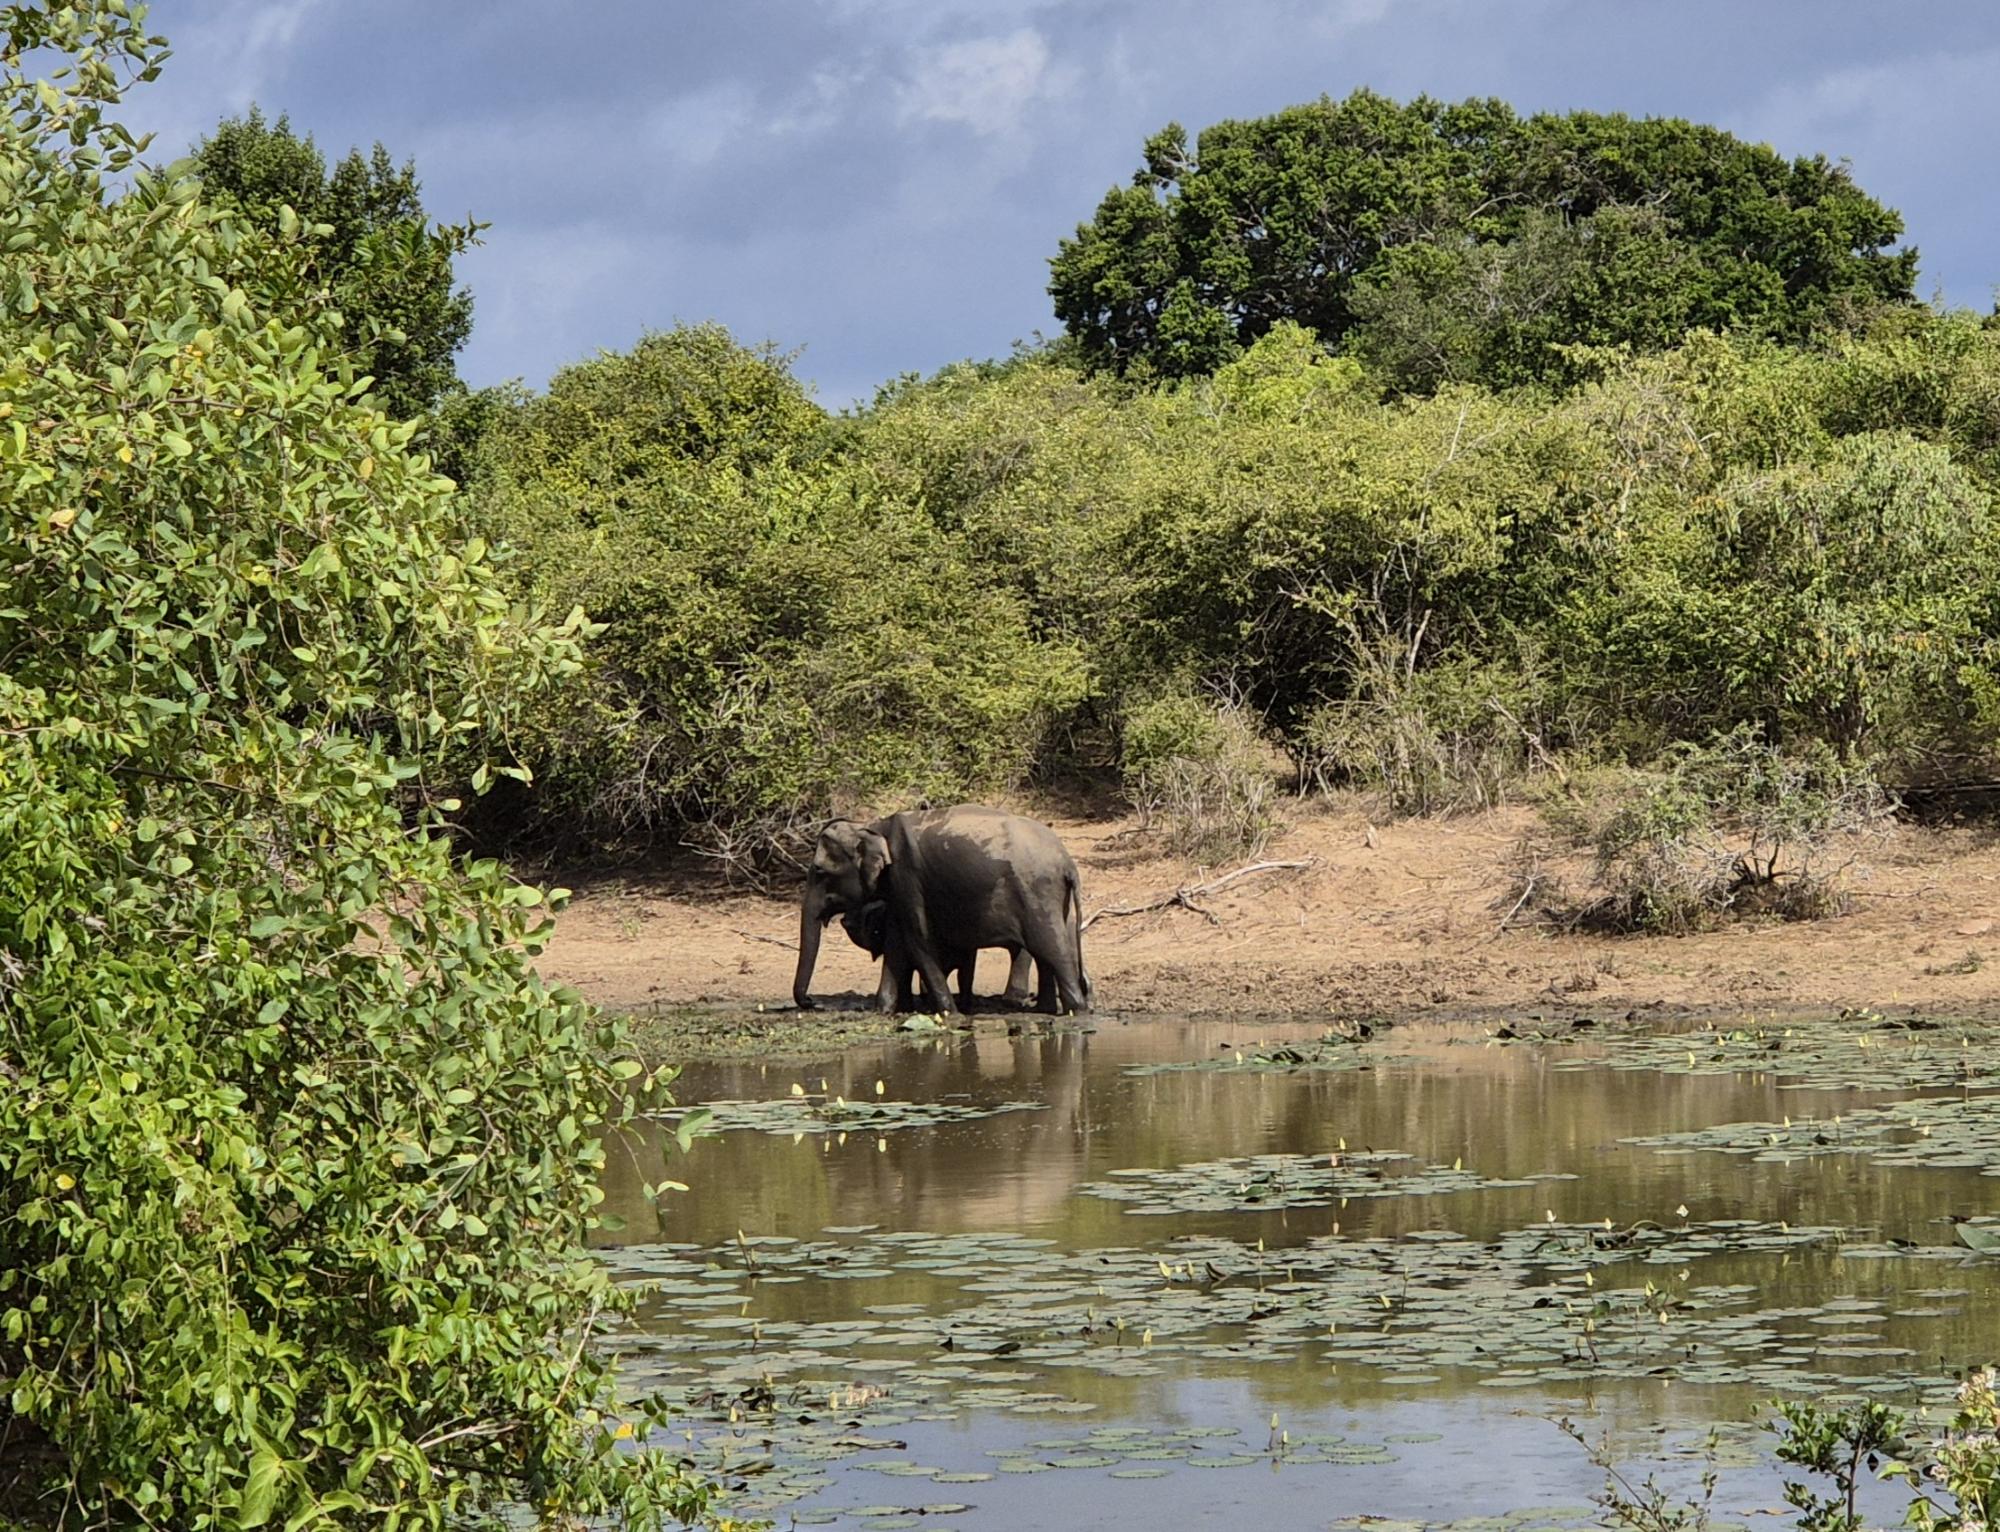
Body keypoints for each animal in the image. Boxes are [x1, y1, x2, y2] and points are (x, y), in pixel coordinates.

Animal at [792, 804, 1096, 1020]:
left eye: (819, 871)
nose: (811, 1002)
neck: (873, 826)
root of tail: (1068, 863)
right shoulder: (898, 887)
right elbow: (897, 944)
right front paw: (884, 1011)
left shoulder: (907, 875)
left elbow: (918, 939)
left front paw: (951, 1014)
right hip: (1055, 901)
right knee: (1049, 952)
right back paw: (1044, 1010)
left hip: (1036, 894)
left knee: (1051, 949)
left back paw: (1076, 1012)